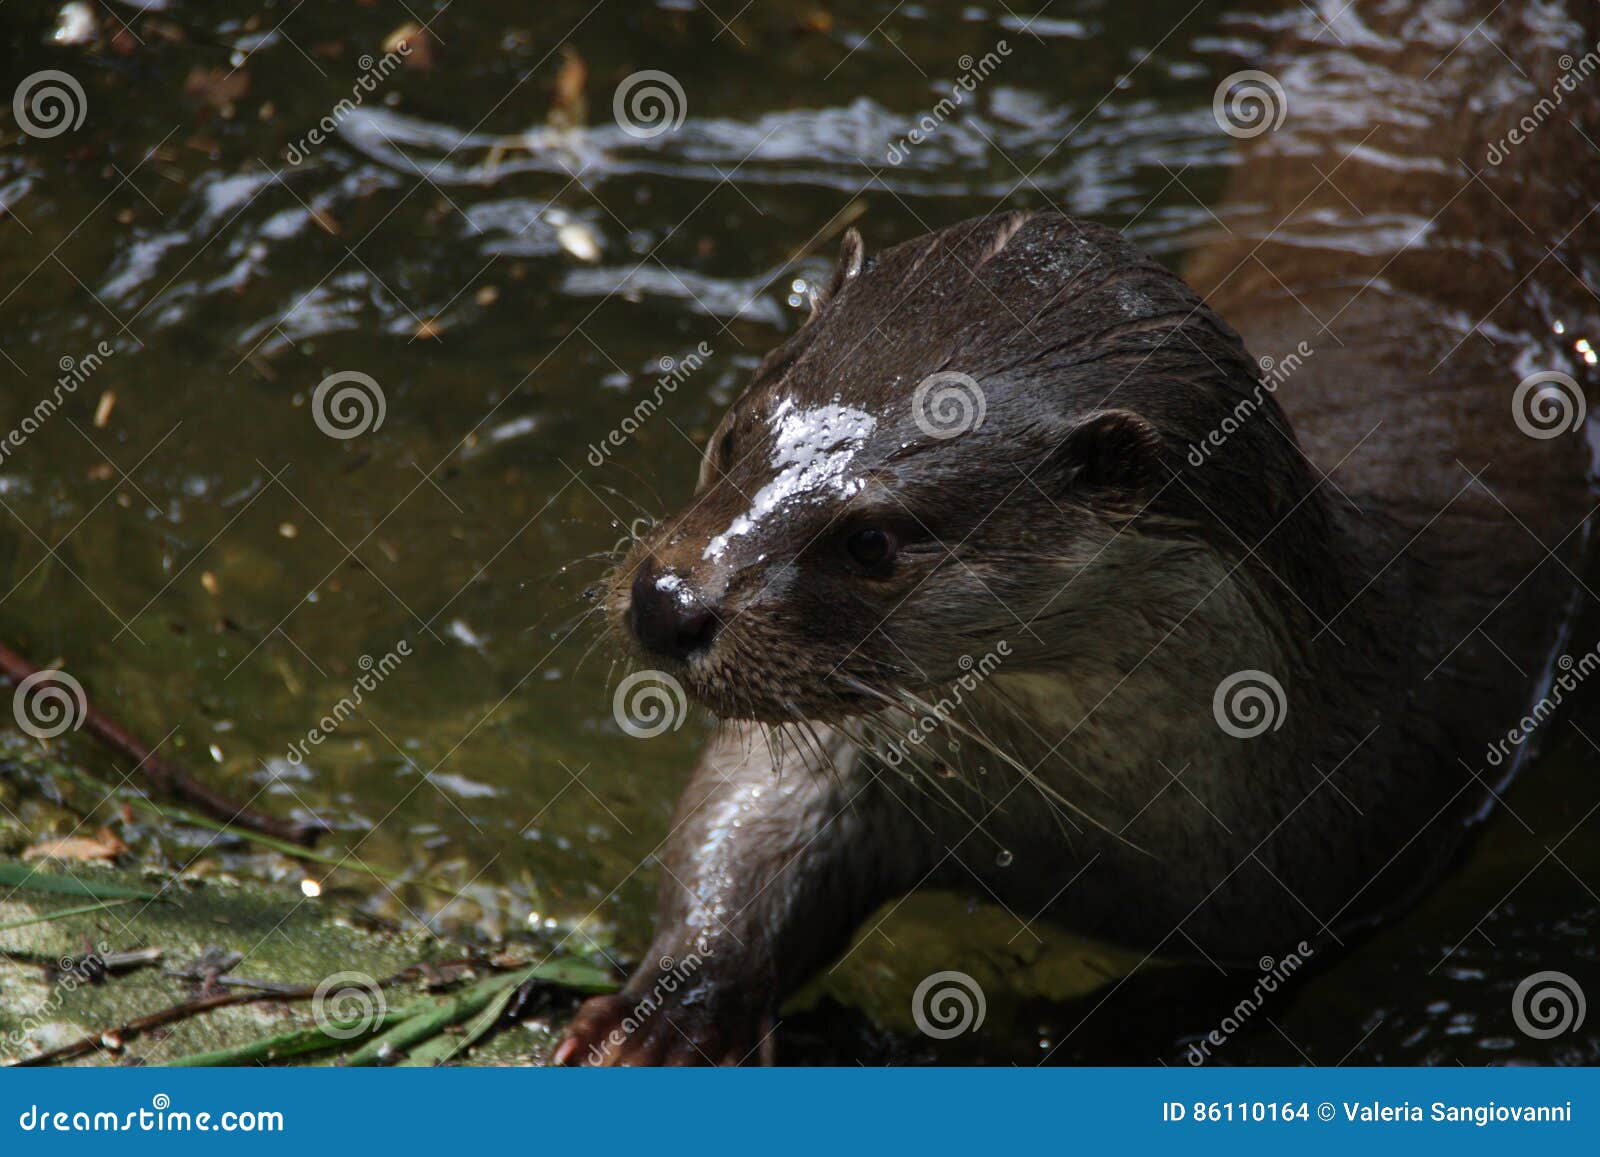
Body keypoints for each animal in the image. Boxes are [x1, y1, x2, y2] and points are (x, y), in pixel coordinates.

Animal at [557, 0, 1600, 1065]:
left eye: (874, 543)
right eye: (732, 435)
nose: (669, 601)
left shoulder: (1366, 853)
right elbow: (746, 815)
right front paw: (669, 1009)